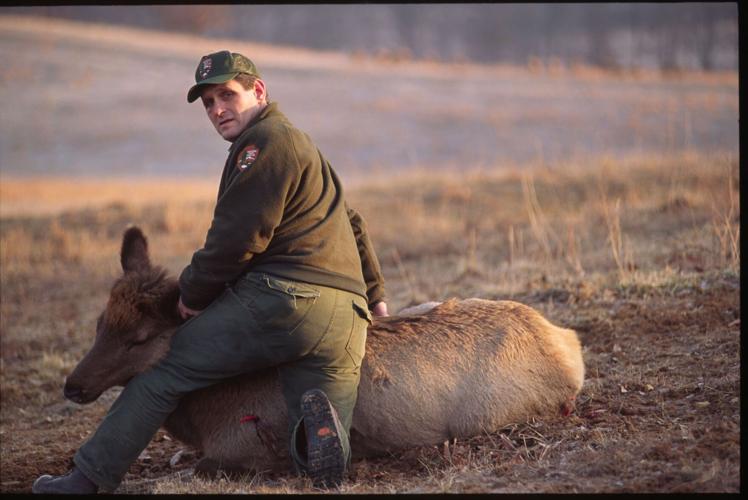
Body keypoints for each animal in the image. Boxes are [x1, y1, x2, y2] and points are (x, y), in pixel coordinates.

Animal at [62, 226, 584, 478]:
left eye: (140, 337)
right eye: (100, 323)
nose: (73, 385)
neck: (205, 414)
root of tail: (569, 346)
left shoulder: (252, 445)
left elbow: (204, 465)